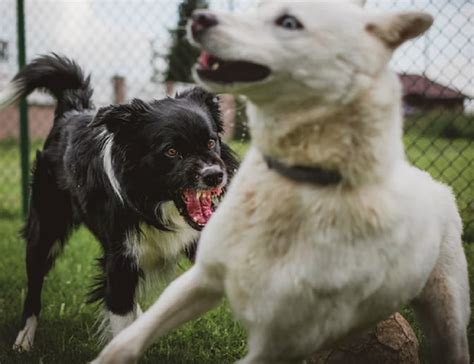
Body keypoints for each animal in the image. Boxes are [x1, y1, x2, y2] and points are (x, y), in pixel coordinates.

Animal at [0, 54, 237, 352]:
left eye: (211, 142)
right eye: (171, 151)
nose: (215, 175)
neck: (154, 203)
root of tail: (71, 111)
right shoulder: (120, 261)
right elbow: (120, 317)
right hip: (46, 228)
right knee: (34, 285)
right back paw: (24, 338)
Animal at [93, 1, 470, 362]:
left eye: (211, 142)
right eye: (170, 151)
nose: (199, 19)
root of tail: (433, 183)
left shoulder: (284, 339)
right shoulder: (200, 276)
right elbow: (127, 338)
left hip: (447, 309)